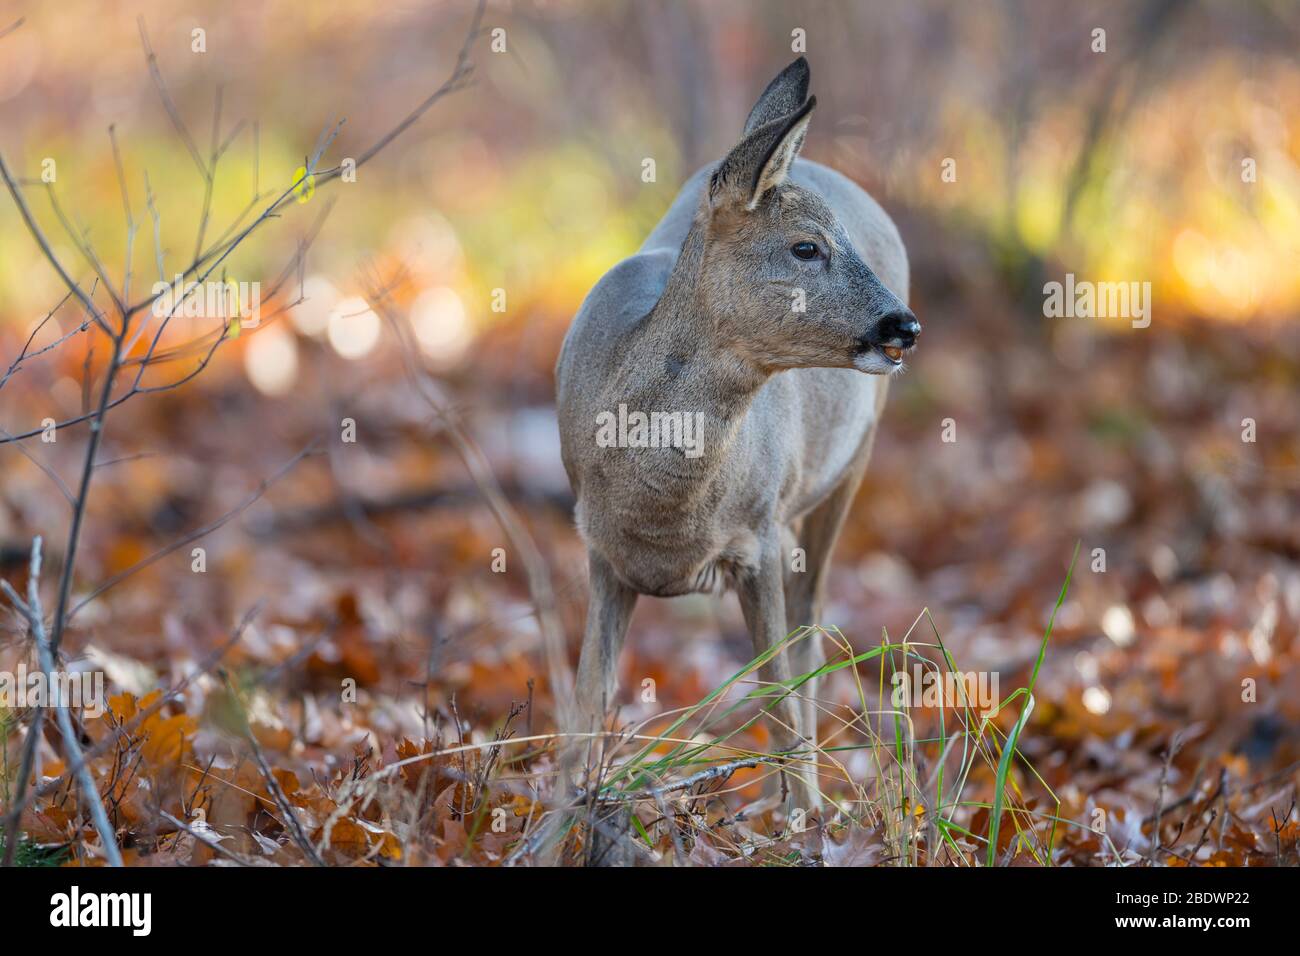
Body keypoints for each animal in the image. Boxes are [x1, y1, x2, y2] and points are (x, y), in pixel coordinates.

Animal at [555, 57, 918, 816]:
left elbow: (777, 694)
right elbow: (586, 702)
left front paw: (805, 817)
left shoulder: (761, 532)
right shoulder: (599, 548)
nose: (904, 325)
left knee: (811, 629)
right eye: (805, 247)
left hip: (849, 464)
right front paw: (558, 815)